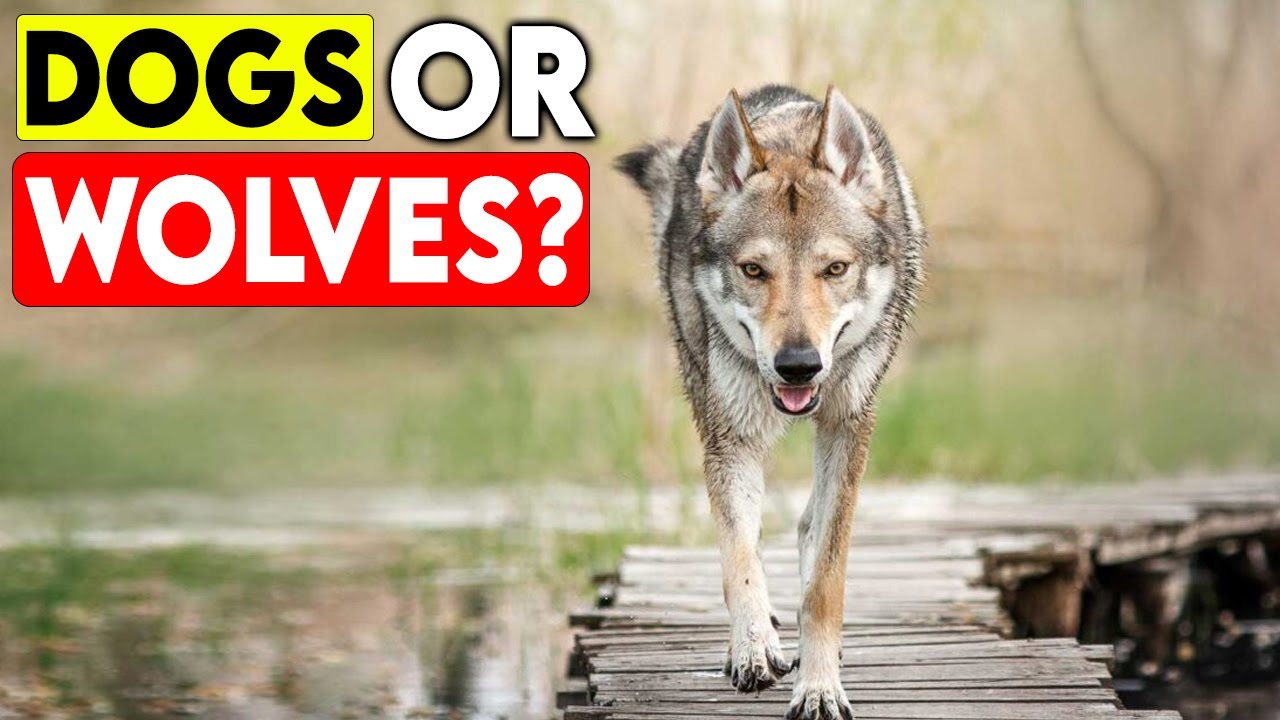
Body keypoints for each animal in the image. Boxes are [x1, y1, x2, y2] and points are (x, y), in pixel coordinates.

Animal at [615, 84, 926, 720]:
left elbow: (826, 581)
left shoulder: (847, 427)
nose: (798, 365)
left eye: (835, 268)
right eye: (754, 270)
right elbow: (738, 558)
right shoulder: (729, 438)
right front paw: (754, 646)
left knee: (808, 527)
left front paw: (820, 686)